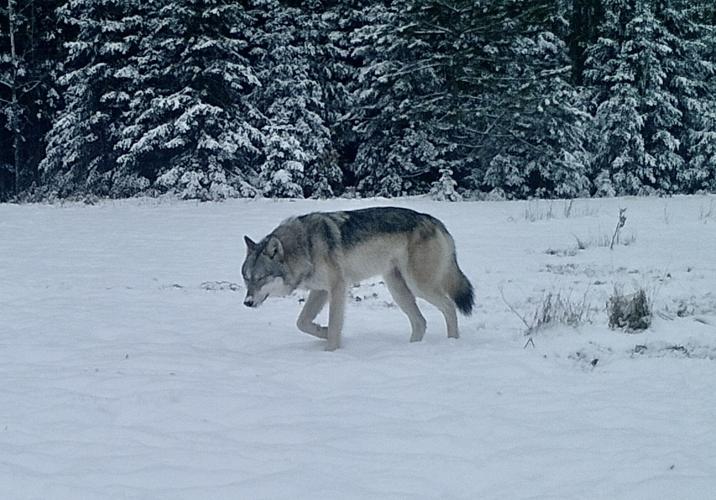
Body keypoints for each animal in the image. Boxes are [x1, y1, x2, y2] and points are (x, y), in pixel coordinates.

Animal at [241, 206, 474, 351]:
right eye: (246, 278)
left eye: (261, 278)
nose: (247, 302)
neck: (306, 245)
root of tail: (434, 221)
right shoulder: (320, 290)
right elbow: (302, 322)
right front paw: (323, 332)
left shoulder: (337, 287)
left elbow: (334, 325)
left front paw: (331, 350)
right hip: (398, 289)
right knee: (420, 322)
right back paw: (411, 348)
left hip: (419, 286)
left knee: (449, 307)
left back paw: (452, 343)